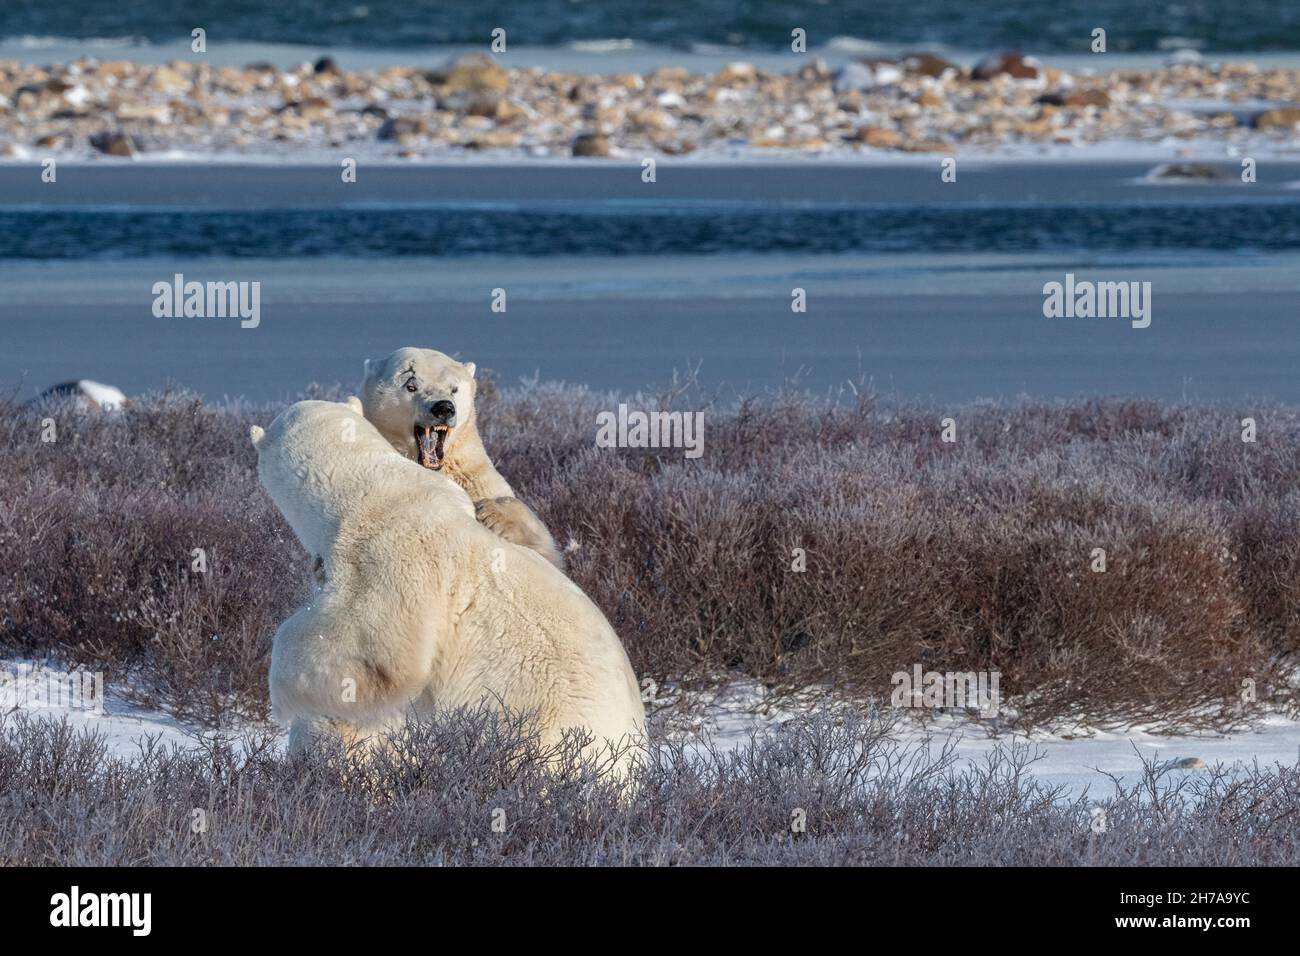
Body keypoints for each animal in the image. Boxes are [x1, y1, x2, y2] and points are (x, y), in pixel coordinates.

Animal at [360, 347, 564, 570]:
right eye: (411, 385)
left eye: (454, 389)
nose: (443, 408)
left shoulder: (476, 475)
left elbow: (546, 552)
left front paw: (491, 513)